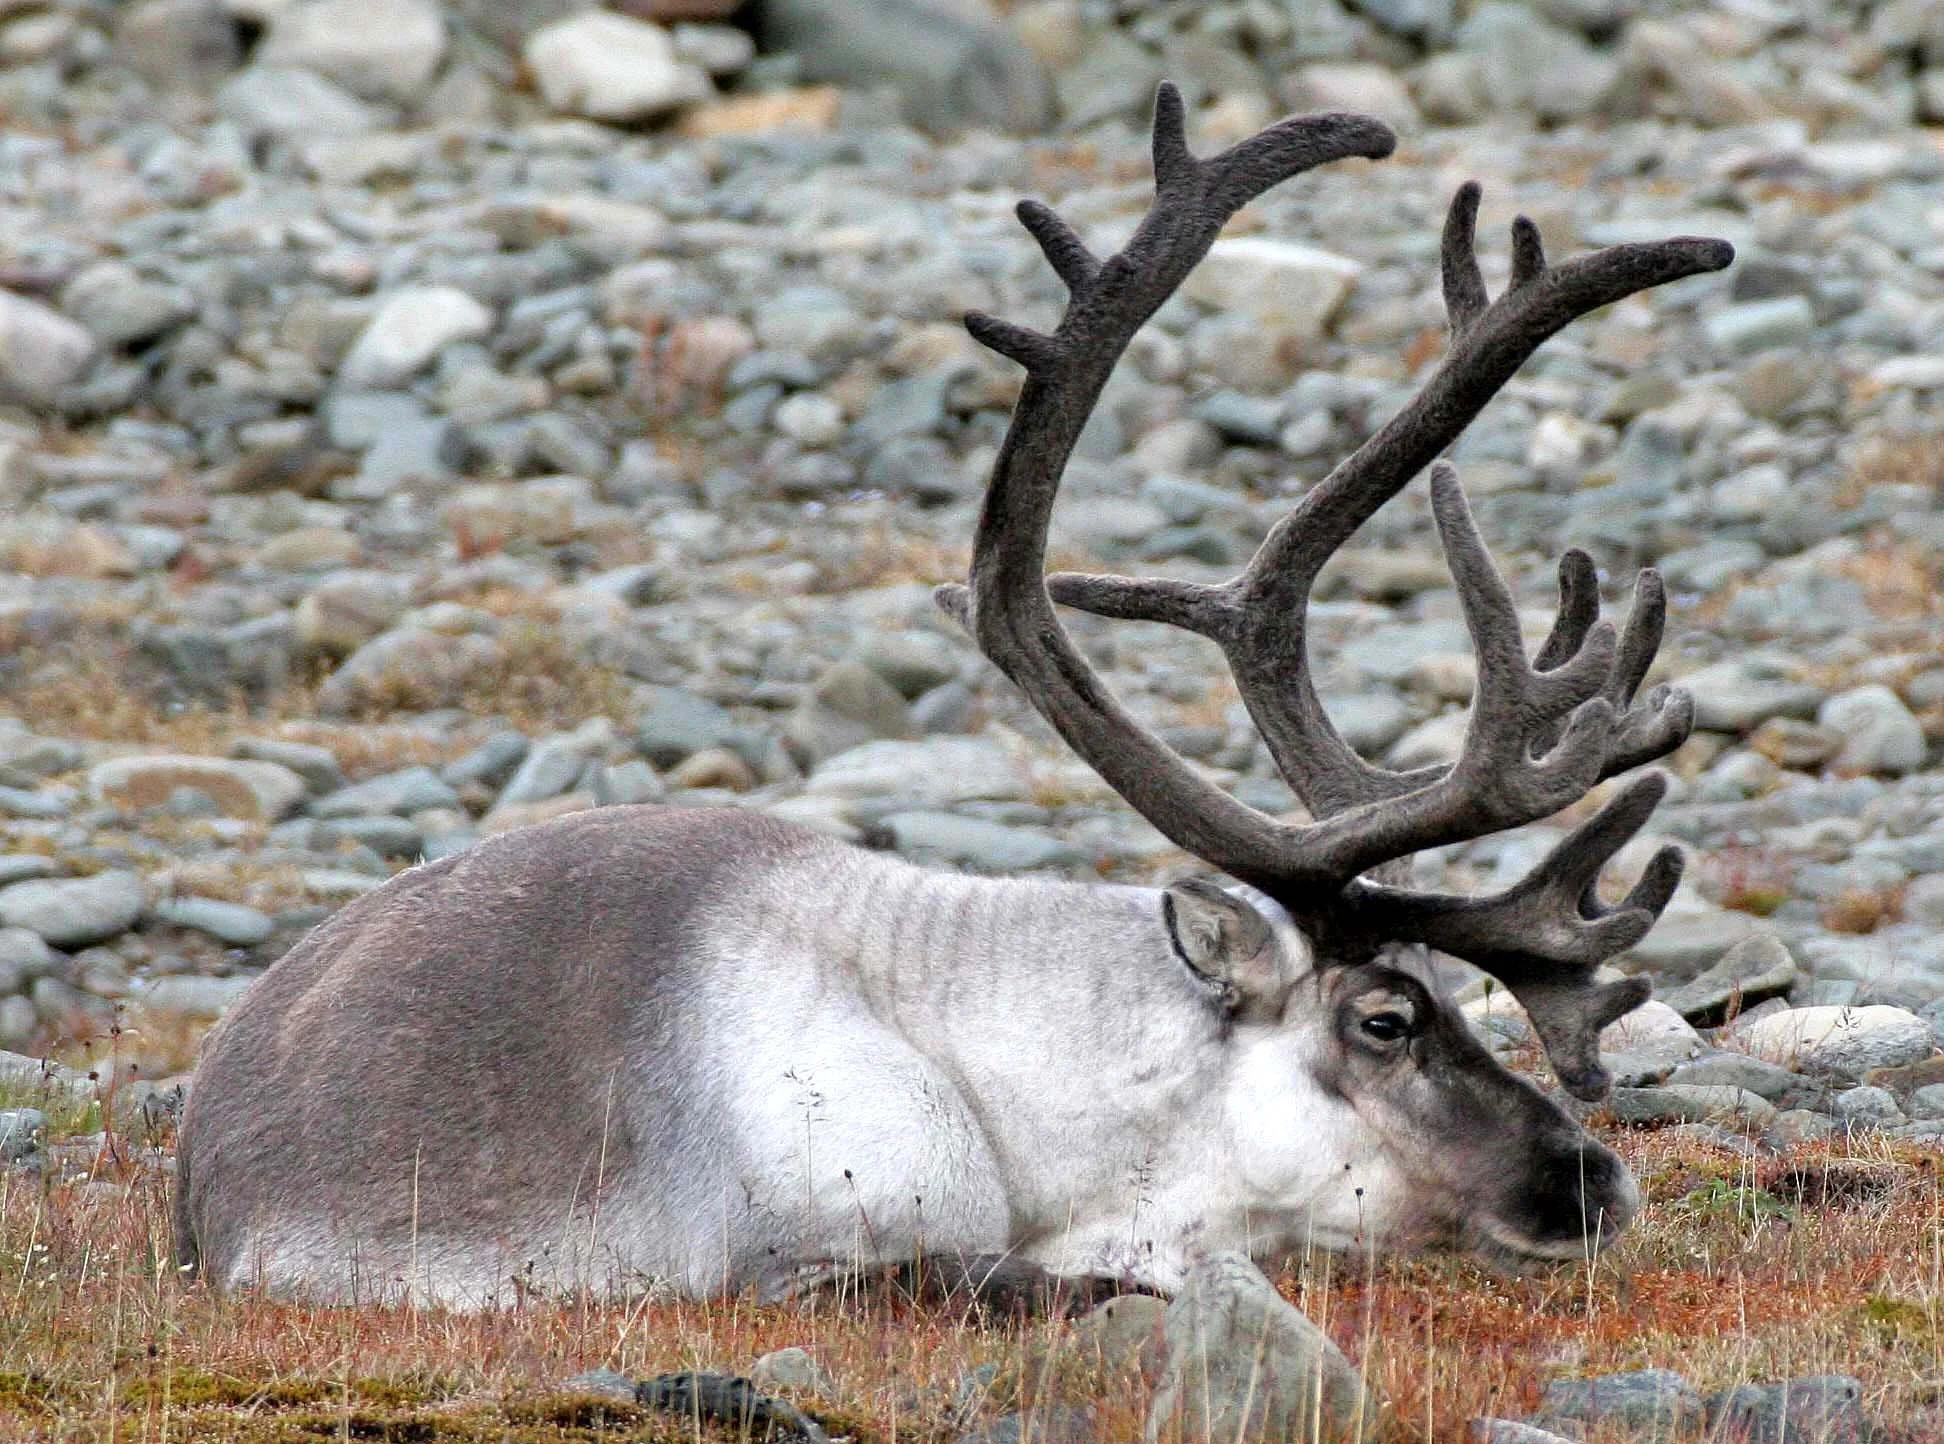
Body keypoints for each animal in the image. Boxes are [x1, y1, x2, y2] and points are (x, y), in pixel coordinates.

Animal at [173, 84, 1733, 1310]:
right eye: (1387, 1020)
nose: (1595, 1181)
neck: (1016, 1095)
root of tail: (196, 1168)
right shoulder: (800, 1250)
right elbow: (1039, 1282)